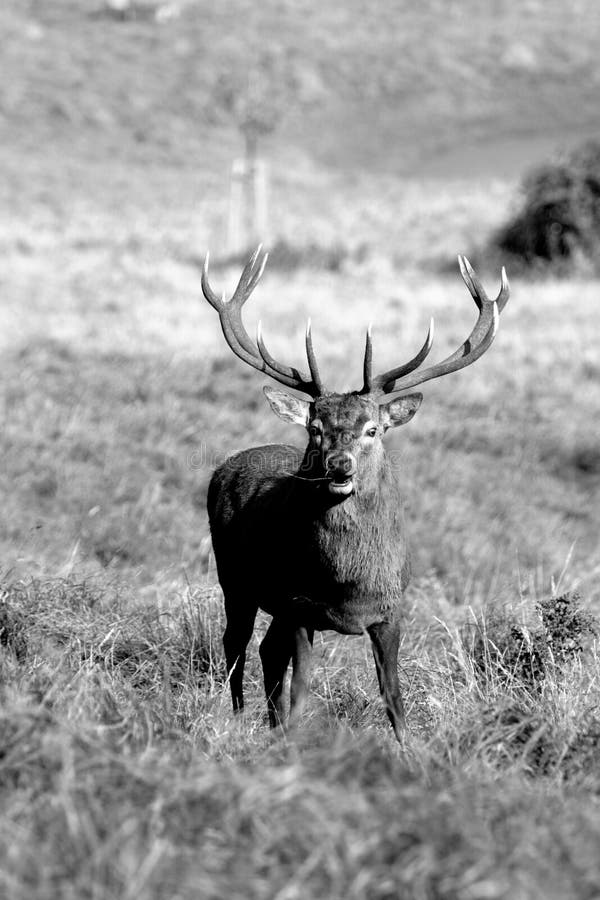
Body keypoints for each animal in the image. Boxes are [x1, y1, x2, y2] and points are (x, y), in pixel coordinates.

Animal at [201, 248, 509, 740]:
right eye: (315, 427)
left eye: (373, 429)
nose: (338, 465)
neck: (347, 583)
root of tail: (226, 466)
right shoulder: (300, 605)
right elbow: (301, 692)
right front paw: (291, 739)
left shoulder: (391, 611)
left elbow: (394, 700)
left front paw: (408, 749)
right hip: (236, 578)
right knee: (237, 645)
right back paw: (238, 721)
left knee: (266, 651)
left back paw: (267, 726)